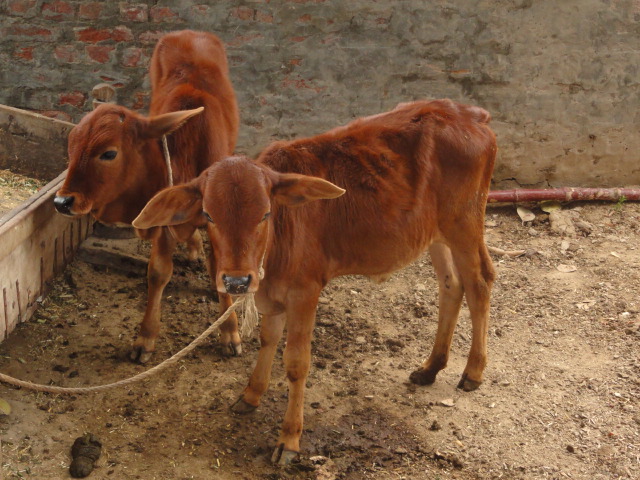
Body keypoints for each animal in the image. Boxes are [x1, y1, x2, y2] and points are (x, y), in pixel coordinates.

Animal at [53, 30, 241, 363]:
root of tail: (190, 34)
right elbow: (158, 273)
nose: (62, 202)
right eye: (71, 146)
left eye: (109, 153)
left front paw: (229, 331)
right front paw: (145, 337)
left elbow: (220, 267)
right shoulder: (162, 218)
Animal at [132, 99, 497, 463]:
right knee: (451, 286)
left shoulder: (305, 291)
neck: (276, 246)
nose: (236, 281)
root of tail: (470, 113)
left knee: (479, 283)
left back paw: (473, 371)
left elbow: (296, 363)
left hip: (465, 223)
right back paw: (431, 367)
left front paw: (289, 438)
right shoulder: (272, 294)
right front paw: (251, 395)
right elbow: (267, 340)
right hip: (435, 234)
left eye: (266, 213)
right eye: (208, 214)